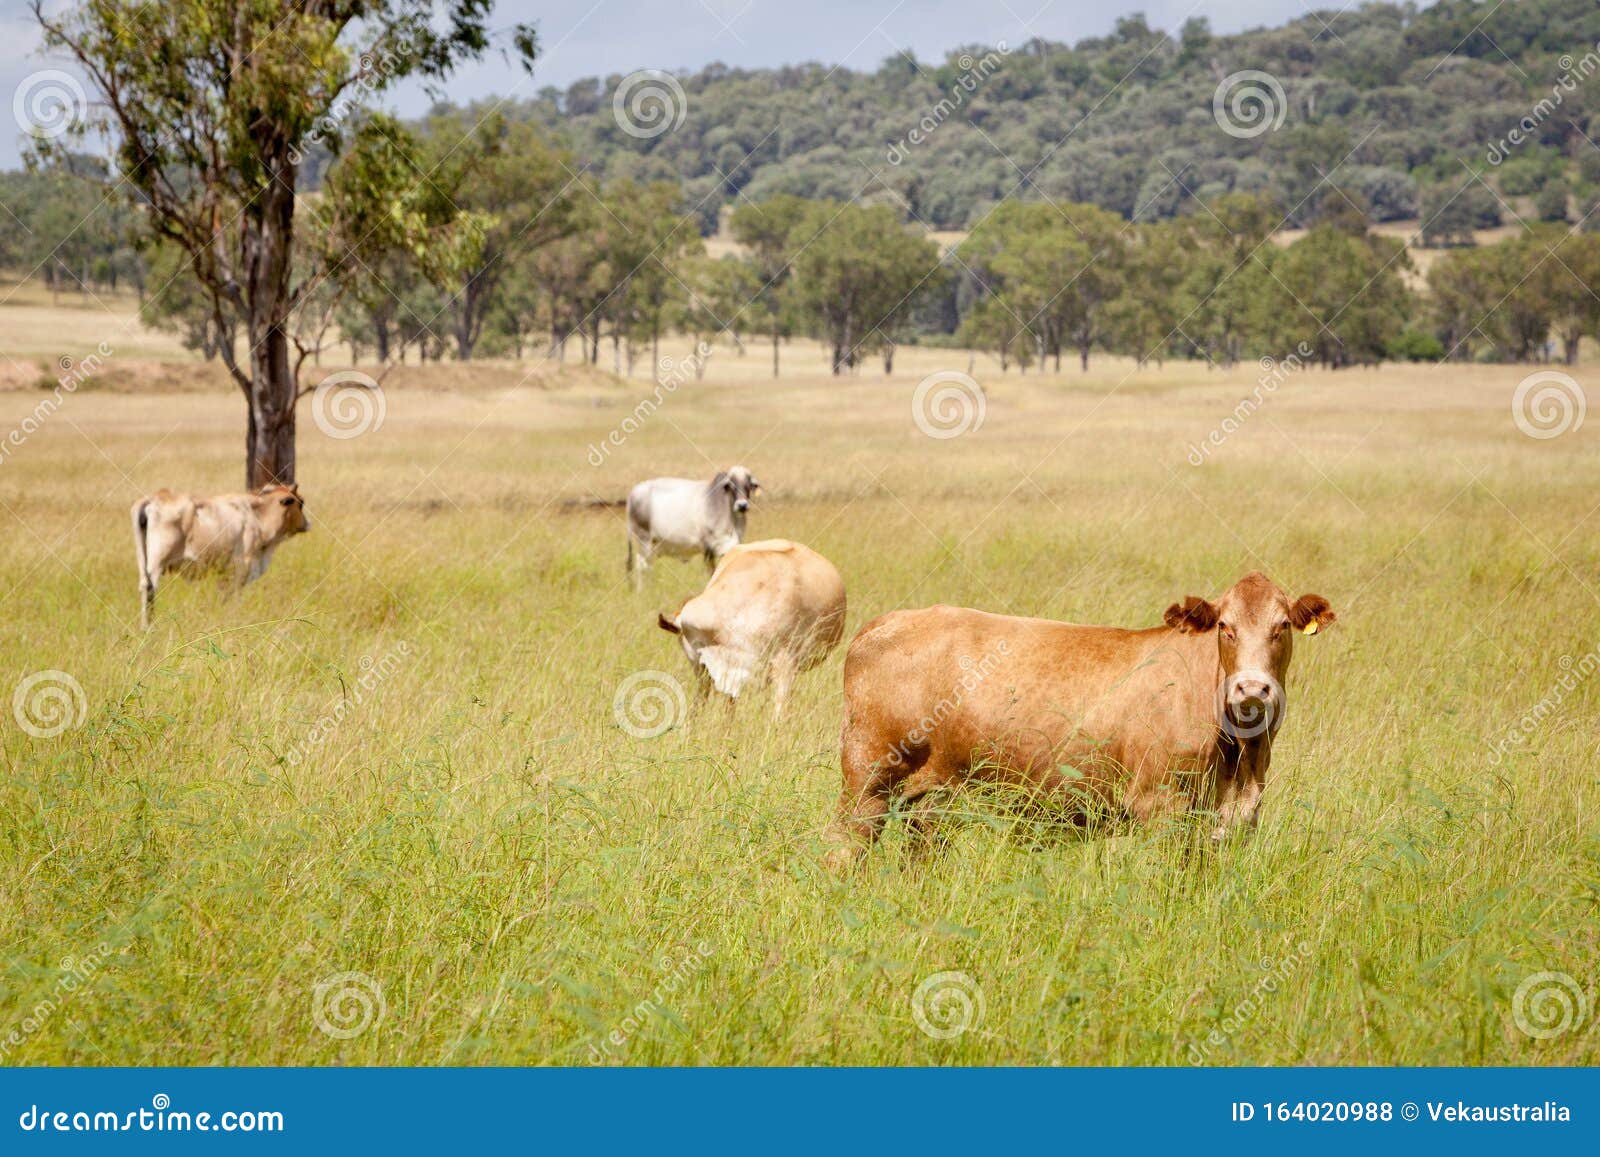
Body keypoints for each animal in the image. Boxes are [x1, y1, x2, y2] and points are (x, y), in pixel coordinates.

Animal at [131, 483, 311, 629]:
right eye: (300, 503)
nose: (307, 524)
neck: (257, 514)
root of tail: (155, 498)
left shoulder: (224, 572)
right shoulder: (241, 567)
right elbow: (234, 596)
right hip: (156, 563)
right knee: (150, 589)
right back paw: (148, 626)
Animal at [626, 466, 760, 590]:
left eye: (749, 485)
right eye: (730, 484)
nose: (742, 505)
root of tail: (634, 492)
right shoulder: (708, 549)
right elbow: (711, 573)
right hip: (644, 539)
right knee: (642, 565)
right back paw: (643, 591)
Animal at [823, 571, 1335, 870]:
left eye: (1282, 626)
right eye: (1225, 626)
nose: (1251, 689)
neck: (1240, 757)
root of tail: (884, 623)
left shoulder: (1237, 816)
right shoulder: (1159, 807)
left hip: (932, 800)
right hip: (867, 783)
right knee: (844, 851)